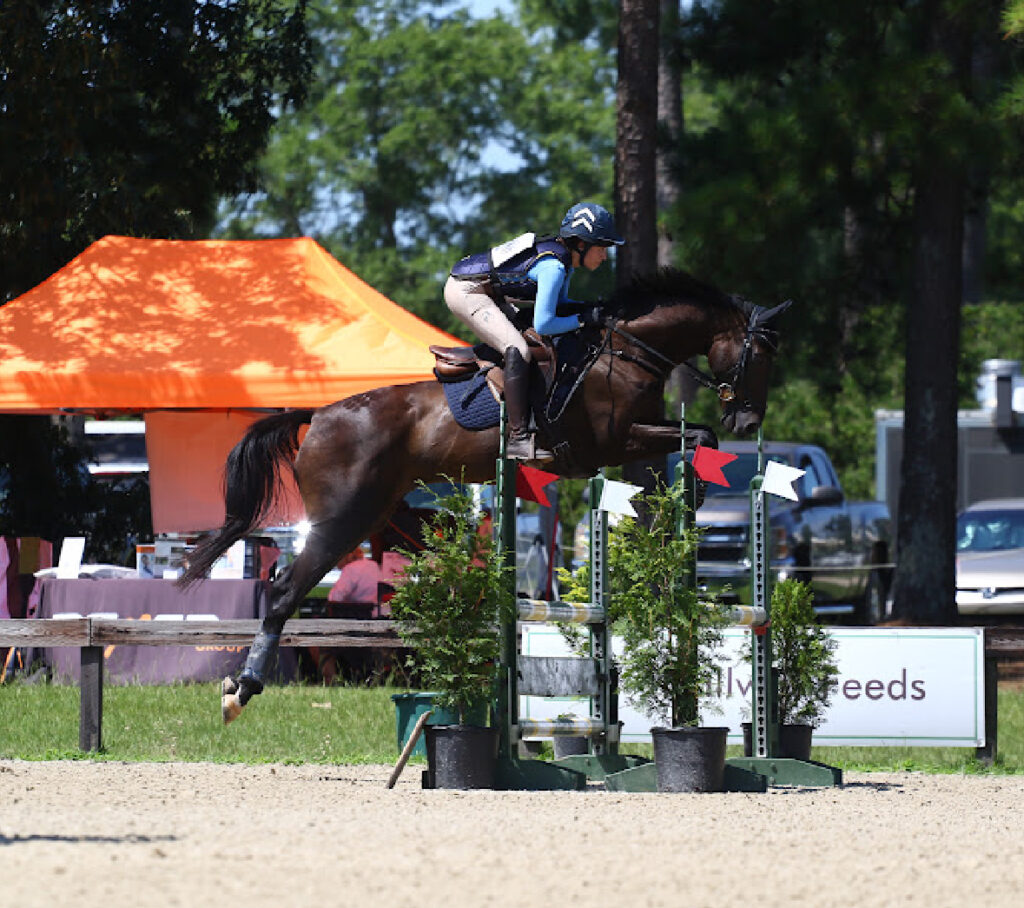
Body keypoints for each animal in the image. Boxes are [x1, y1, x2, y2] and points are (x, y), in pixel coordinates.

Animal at [179, 269, 792, 722]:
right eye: (760, 357)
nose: (748, 419)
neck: (626, 350)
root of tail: (320, 414)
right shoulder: (614, 440)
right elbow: (695, 437)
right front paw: (691, 498)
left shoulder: (630, 440)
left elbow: (697, 437)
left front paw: (688, 499)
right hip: (341, 519)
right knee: (284, 590)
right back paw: (241, 691)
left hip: (376, 513)